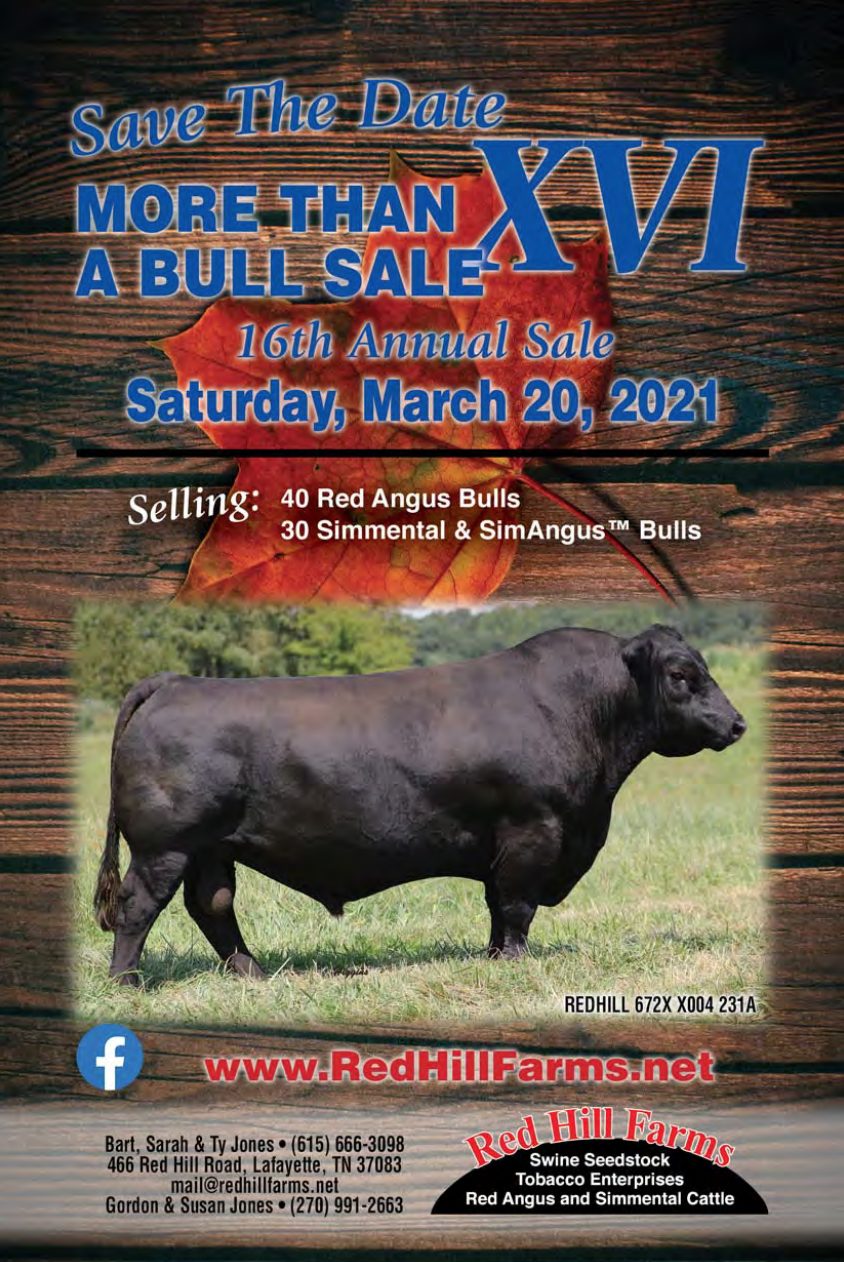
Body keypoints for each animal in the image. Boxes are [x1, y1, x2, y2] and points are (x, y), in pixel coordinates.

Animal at [93, 624, 747, 985]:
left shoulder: (505, 845)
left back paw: (252, 975)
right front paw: (515, 964)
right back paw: (126, 982)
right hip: (164, 846)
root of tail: (178, 682)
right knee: (139, 906)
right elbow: (517, 906)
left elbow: (496, 906)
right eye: (682, 675)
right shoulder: (533, 832)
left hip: (211, 847)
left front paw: (493, 959)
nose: (737, 723)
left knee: (213, 904)